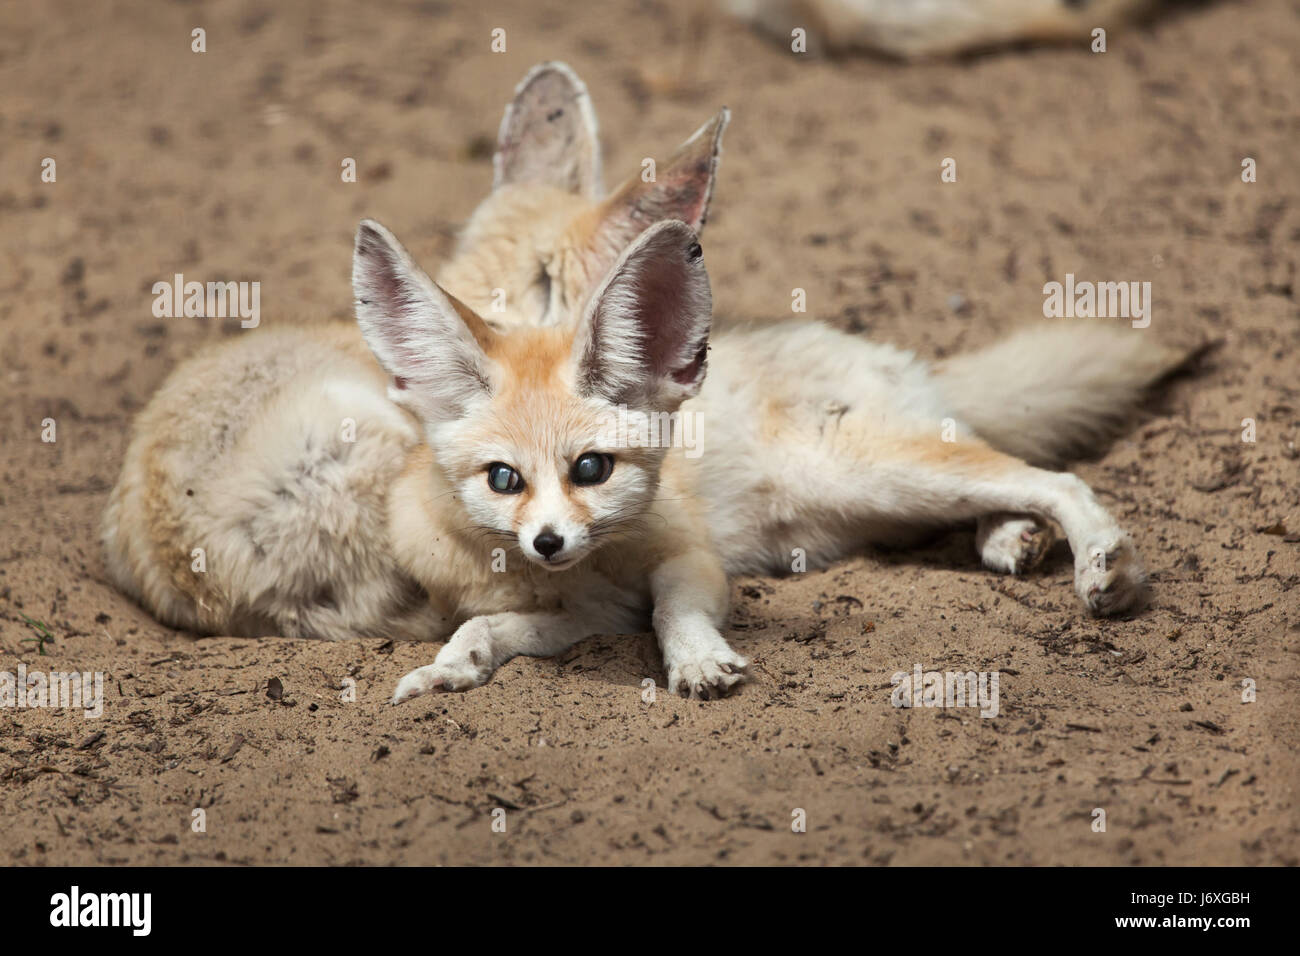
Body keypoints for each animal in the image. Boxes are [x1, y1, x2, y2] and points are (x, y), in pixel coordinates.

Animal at [103, 62, 1192, 703]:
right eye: (503, 479)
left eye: (592, 467)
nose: (549, 540)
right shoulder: (571, 597)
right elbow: (505, 624)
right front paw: (459, 662)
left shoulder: (663, 565)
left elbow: (669, 605)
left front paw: (693, 654)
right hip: (870, 488)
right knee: (999, 471)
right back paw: (1014, 539)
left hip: (870, 471)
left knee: (1041, 471)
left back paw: (1090, 556)